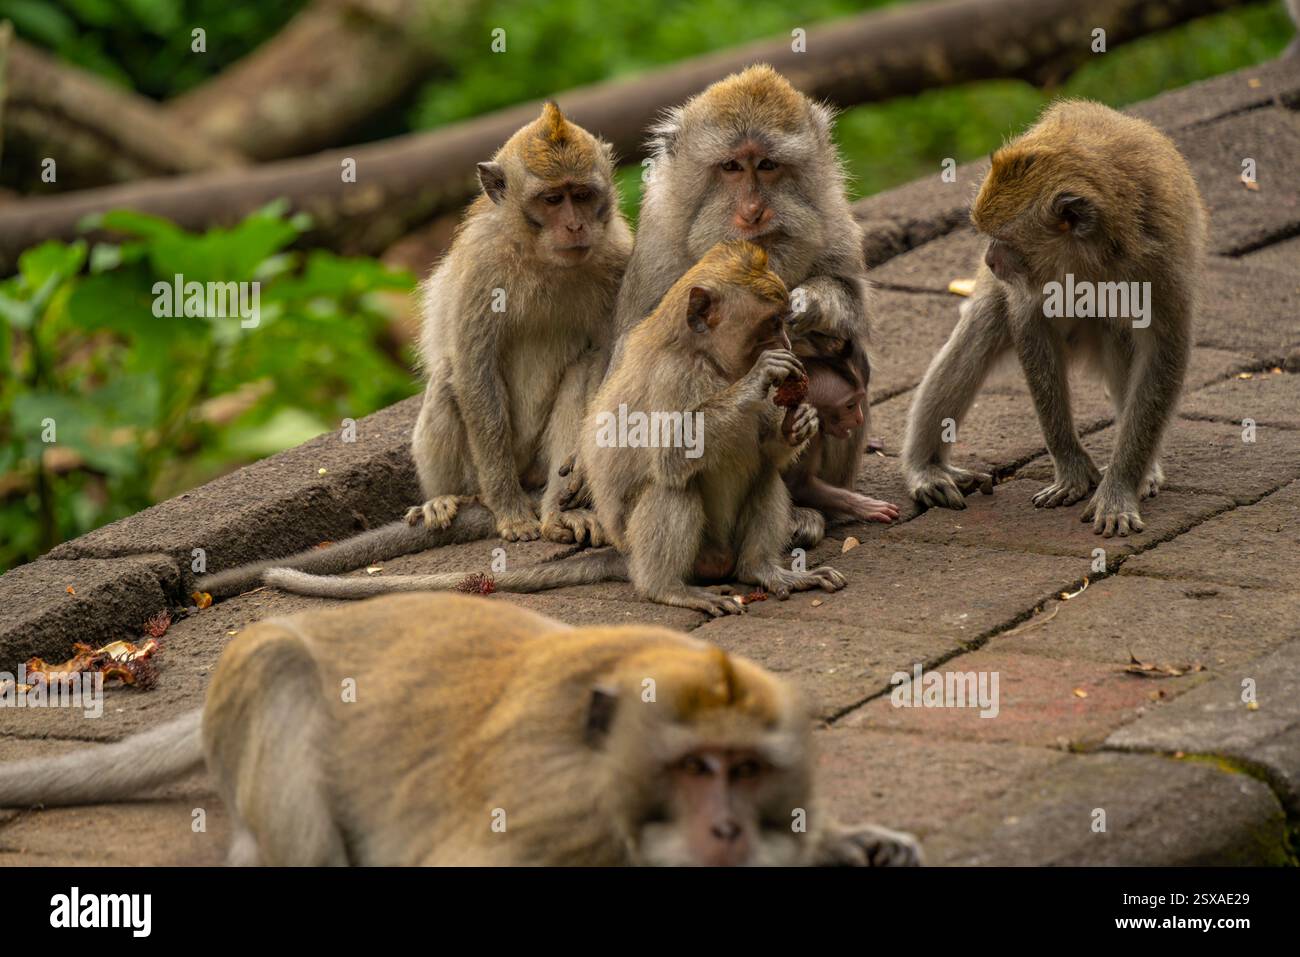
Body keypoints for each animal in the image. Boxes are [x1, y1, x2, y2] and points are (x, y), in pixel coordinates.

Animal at [0, 593, 923, 867]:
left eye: (749, 767)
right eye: (696, 768)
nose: (727, 831)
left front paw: (846, 841)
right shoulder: (555, 821)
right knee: (279, 670)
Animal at [195, 103, 631, 599]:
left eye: (583, 194)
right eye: (553, 200)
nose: (576, 225)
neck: (543, 259)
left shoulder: (617, 254)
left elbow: (612, 357)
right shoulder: (482, 268)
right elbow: (473, 368)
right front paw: (509, 511)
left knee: (583, 368)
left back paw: (558, 509)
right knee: (448, 379)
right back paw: (450, 498)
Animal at [261, 242, 846, 617]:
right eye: (769, 326)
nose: (788, 349)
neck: (709, 359)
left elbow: (765, 454)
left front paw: (800, 422)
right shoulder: (675, 376)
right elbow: (672, 455)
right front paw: (759, 379)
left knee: (761, 482)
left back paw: (766, 572)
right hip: (672, 552)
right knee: (670, 489)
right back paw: (668, 590)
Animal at [901, 100, 1205, 537]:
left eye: (1004, 239)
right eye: (984, 234)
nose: (989, 260)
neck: (1089, 258)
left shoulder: (1162, 259)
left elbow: (1163, 351)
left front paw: (1120, 487)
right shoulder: (1026, 286)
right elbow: (1029, 326)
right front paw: (1072, 469)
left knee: (1120, 338)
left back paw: (1145, 472)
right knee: (982, 326)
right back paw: (926, 470)